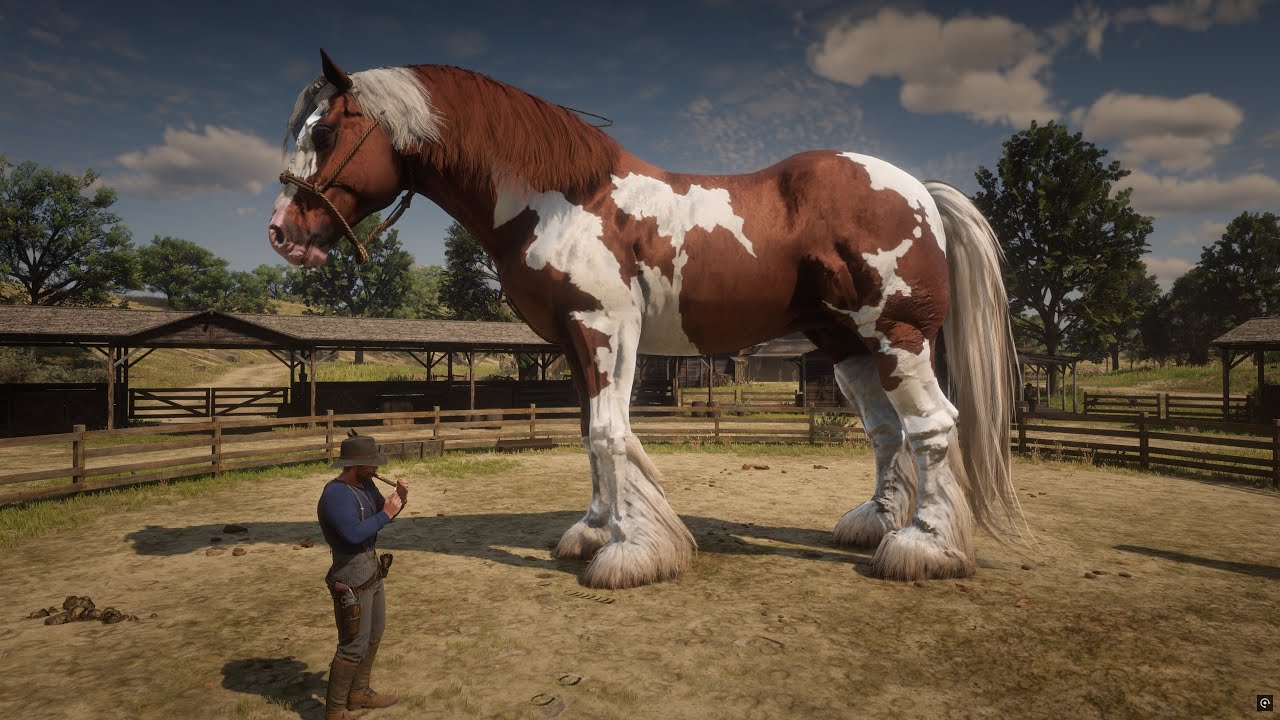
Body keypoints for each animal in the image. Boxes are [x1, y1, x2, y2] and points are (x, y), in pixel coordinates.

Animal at [268, 50, 1027, 590]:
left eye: (326, 131)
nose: (283, 234)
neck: (564, 201)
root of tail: (917, 189)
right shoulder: (575, 341)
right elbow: (588, 436)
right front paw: (595, 531)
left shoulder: (606, 330)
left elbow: (610, 435)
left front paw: (630, 553)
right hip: (846, 347)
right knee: (885, 432)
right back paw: (875, 525)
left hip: (898, 338)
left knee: (932, 427)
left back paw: (923, 548)